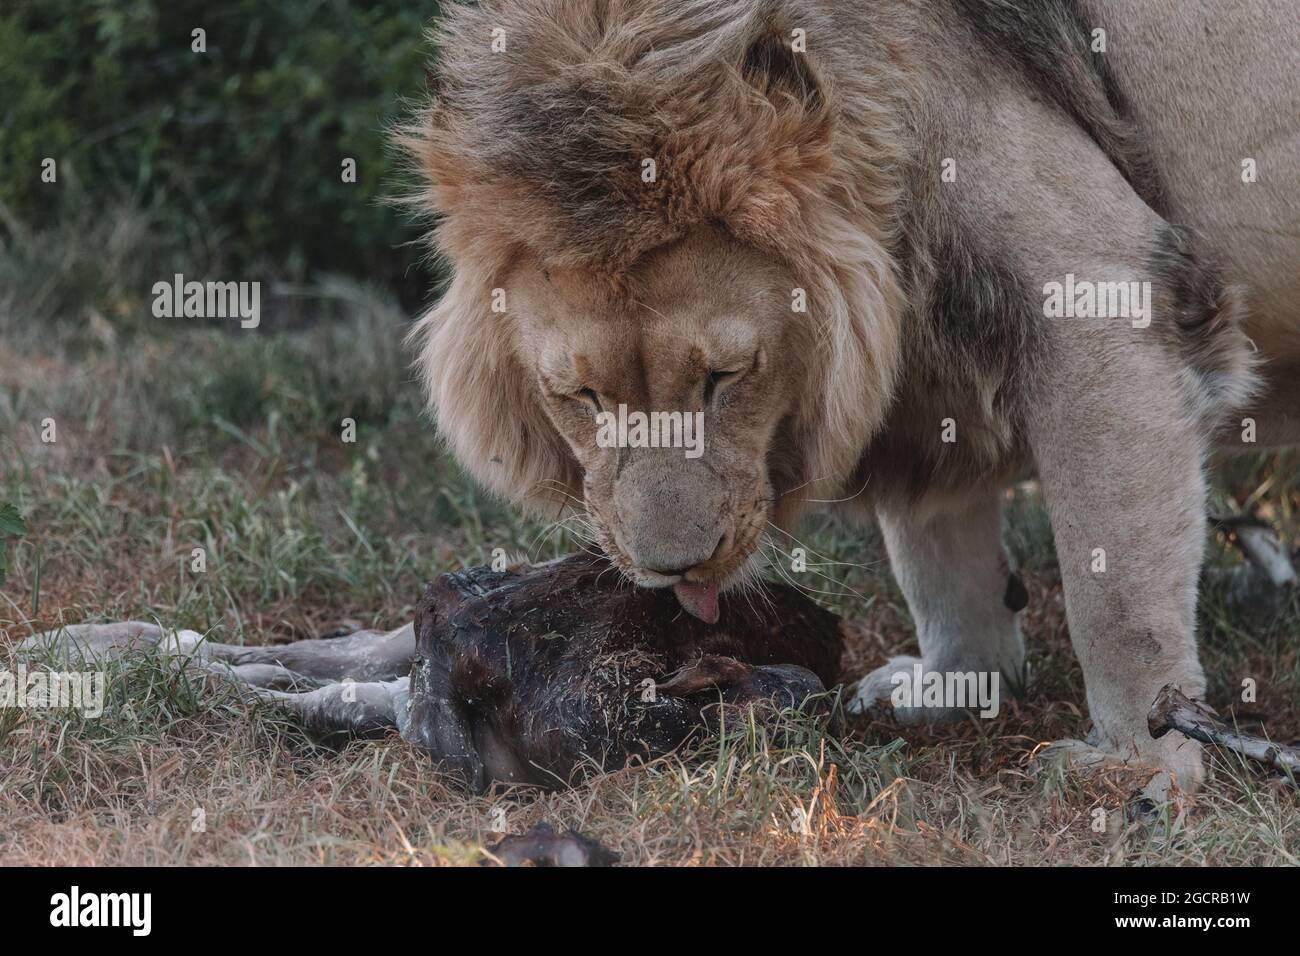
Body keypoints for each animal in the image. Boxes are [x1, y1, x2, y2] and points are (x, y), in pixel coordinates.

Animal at [402, 0, 1300, 796]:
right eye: (581, 395)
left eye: (724, 377)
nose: (675, 570)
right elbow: (940, 559)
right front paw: (955, 684)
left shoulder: (1098, 293)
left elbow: (1114, 589)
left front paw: (1136, 759)